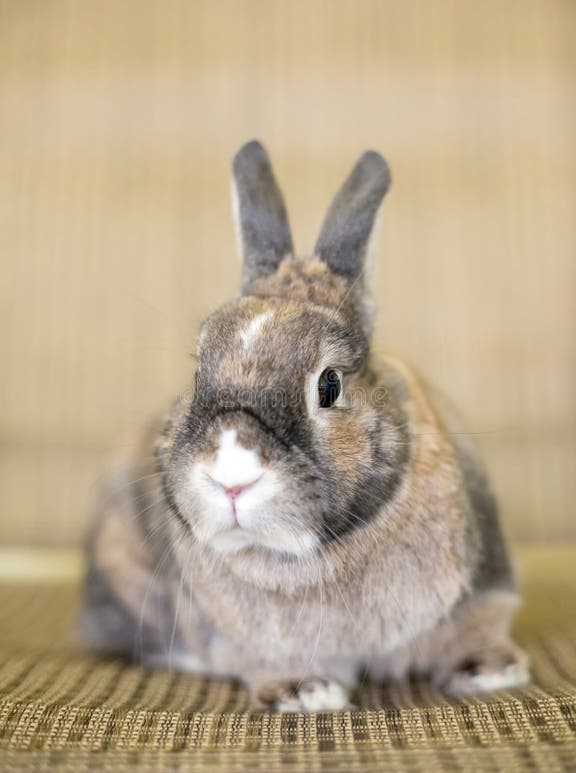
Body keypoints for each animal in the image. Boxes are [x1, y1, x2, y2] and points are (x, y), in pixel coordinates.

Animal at [80, 140, 529, 711]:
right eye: (198, 369)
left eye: (329, 385)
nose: (231, 473)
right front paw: (305, 692)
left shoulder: (486, 586)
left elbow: (480, 622)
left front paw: (489, 672)